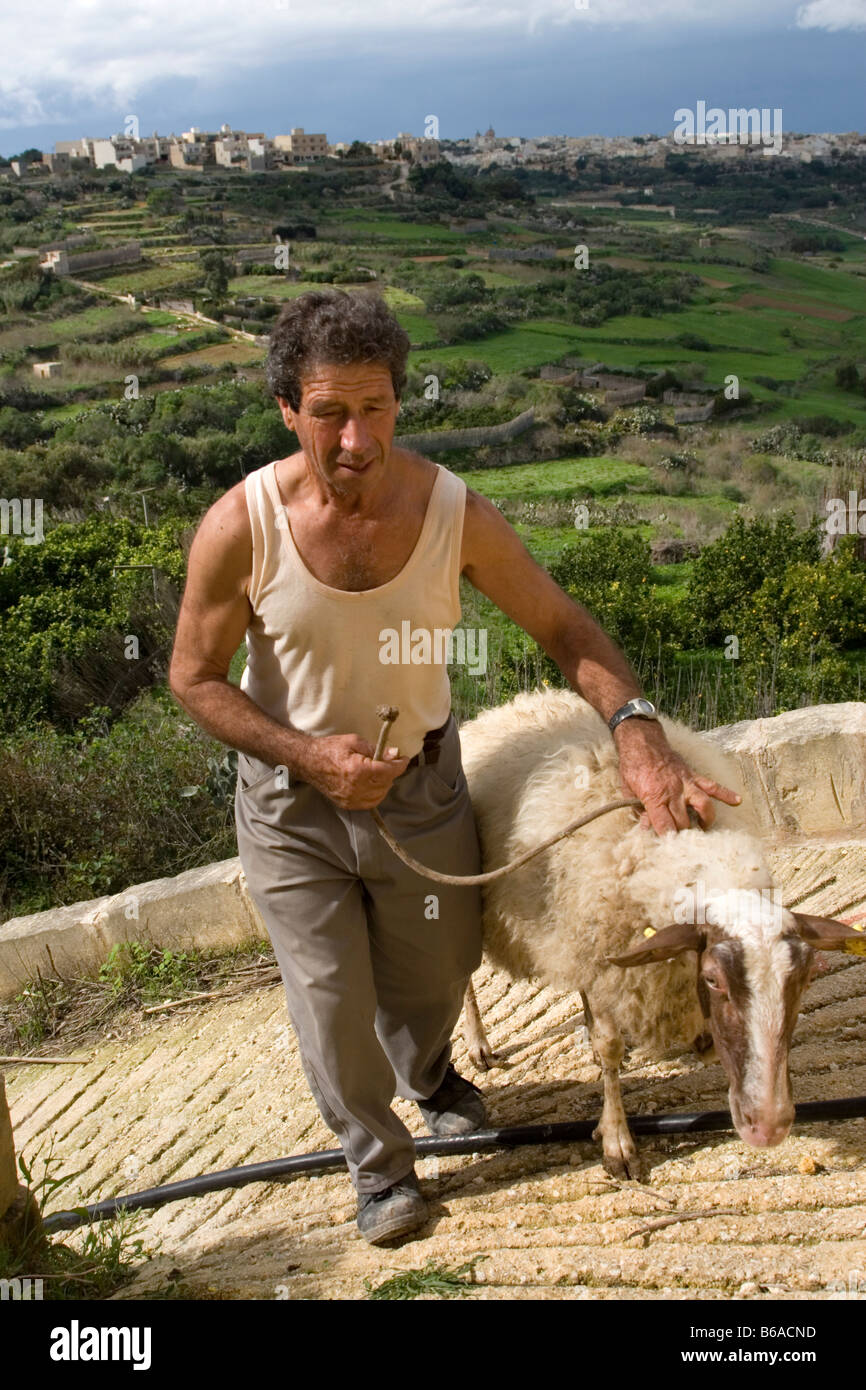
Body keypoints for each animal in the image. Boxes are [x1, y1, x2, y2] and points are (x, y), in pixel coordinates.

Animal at [457, 687, 865, 1177]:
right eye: (714, 979)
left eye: (804, 980)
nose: (769, 1125)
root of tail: (516, 703)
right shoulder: (601, 949)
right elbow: (610, 1047)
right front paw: (617, 1140)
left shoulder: (607, 952)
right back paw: (479, 1046)